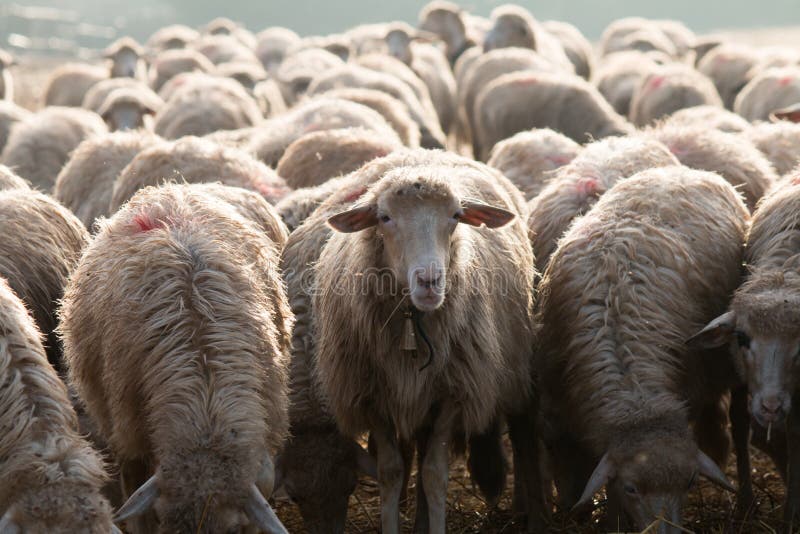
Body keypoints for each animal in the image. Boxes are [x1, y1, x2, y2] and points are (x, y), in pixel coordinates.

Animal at [315, 149, 545, 533]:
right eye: (384, 217)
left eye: (456, 215)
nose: (429, 282)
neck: (413, 320)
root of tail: (423, 153)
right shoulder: (373, 395)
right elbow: (391, 473)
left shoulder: (452, 392)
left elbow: (435, 475)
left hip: (512, 369)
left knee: (523, 435)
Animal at [688, 177, 800, 525]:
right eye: (741, 338)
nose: (770, 408)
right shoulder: (738, 375)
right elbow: (739, 426)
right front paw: (745, 505)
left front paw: (791, 515)